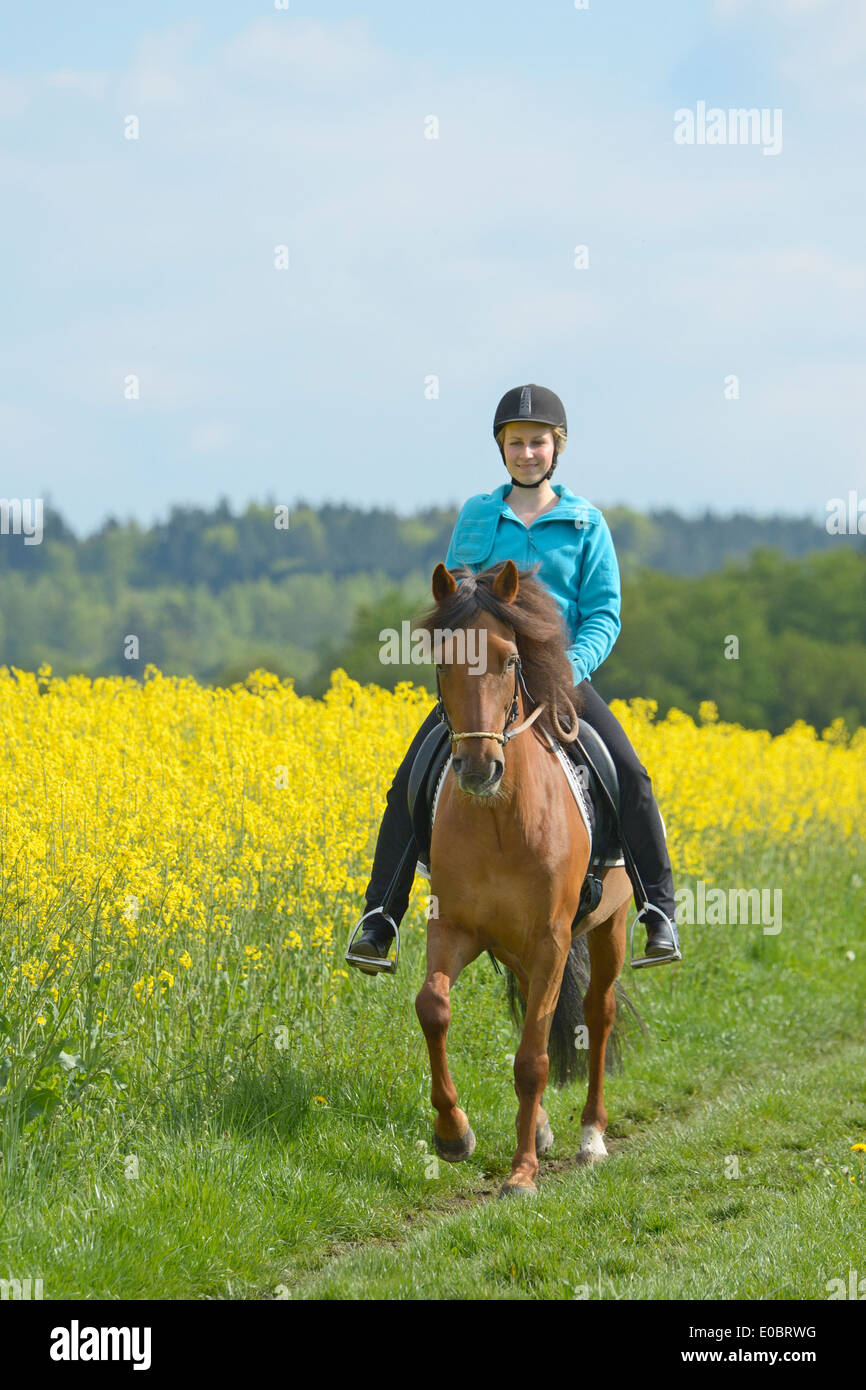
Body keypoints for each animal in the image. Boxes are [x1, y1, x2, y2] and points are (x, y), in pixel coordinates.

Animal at [412, 558, 641, 1198]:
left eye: (511, 660)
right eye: (441, 660)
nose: (478, 768)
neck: (500, 819)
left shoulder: (552, 939)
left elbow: (534, 1058)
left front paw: (521, 1174)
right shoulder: (455, 928)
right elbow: (432, 1007)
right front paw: (454, 1135)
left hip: (609, 927)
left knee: (597, 1014)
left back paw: (591, 1136)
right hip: (515, 947)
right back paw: (538, 1129)